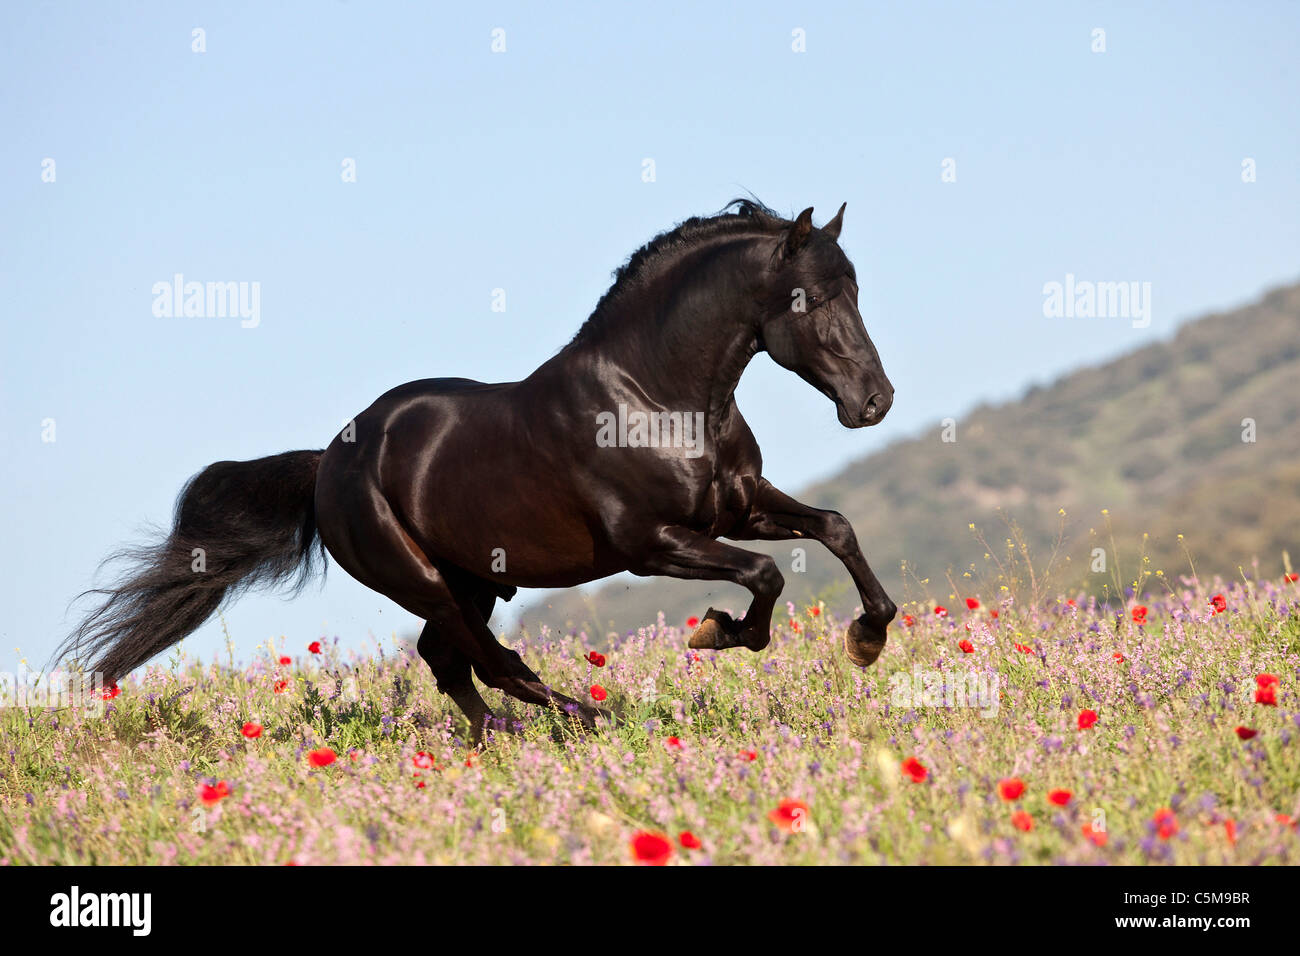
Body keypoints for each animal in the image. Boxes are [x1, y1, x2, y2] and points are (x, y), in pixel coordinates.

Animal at [60, 199, 897, 740]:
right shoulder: (651, 542)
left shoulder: (738, 505)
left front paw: (868, 636)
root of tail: (331, 461)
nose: (874, 401)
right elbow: (765, 574)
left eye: (856, 289)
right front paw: (719, 633)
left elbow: (836, 528)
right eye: (809, 297)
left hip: (474, 579)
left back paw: (497, 741)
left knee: (451, 663)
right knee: (488, 661)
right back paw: (585, 720)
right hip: (422, 580)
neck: (655, 396)